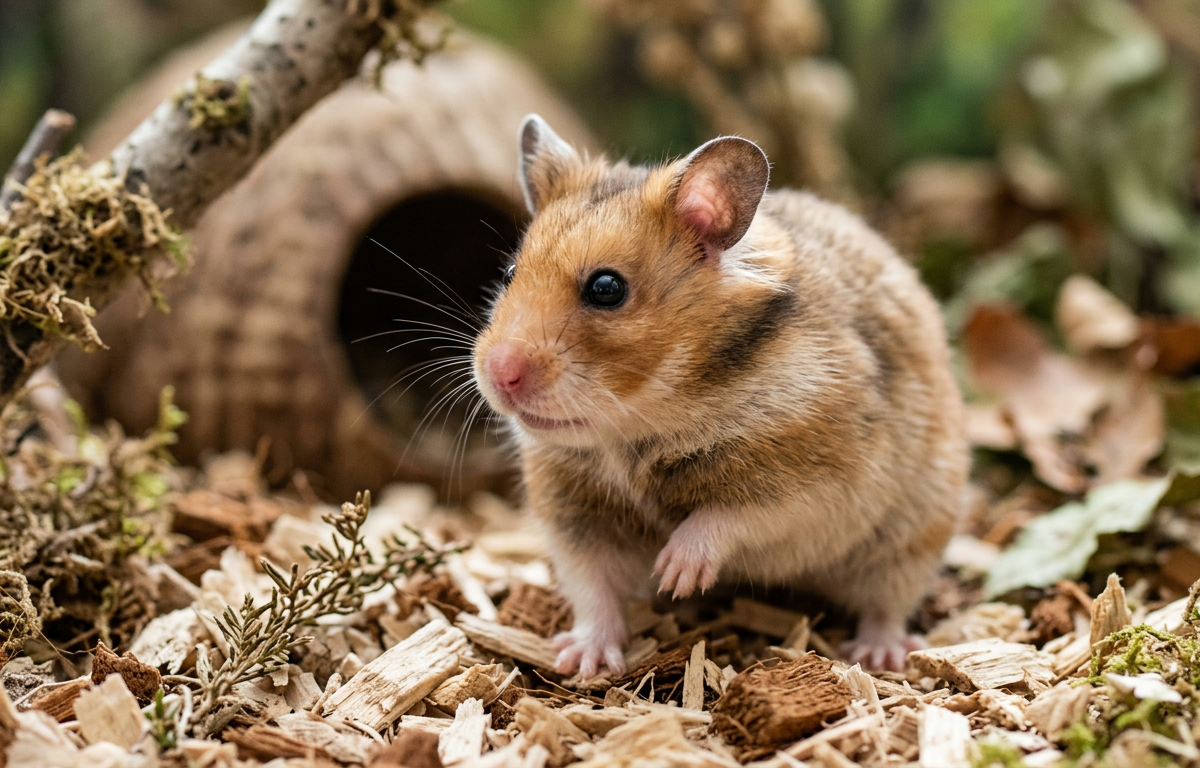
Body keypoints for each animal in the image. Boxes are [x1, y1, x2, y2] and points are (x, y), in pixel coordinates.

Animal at [472, 115, 969, 676]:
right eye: (510, 274)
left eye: (606, 288)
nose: (499, 374)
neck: (641, 426)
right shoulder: (574, 519)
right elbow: (592, 589)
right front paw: (582, 661)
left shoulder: (818, 483)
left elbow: (727, 517)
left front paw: (675, 572)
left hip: (913, 535)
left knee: (887, 602)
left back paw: (877, 654)